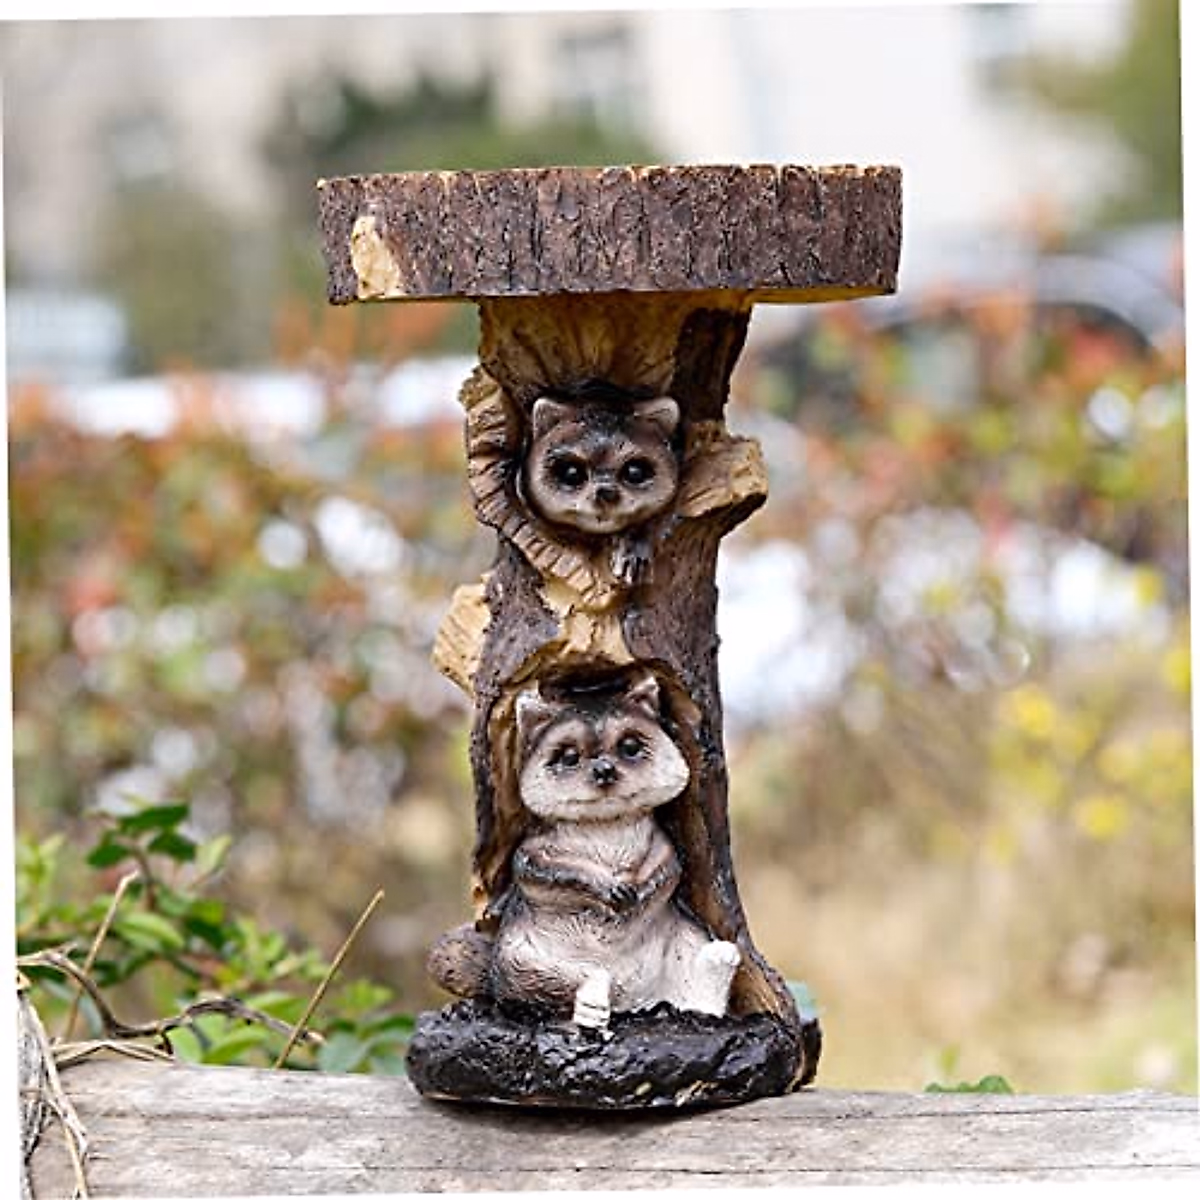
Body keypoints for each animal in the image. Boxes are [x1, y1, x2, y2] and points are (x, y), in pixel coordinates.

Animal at [490, 673, 741, 1027]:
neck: (607, 824)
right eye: (569, 757)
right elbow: (539, 871)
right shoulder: (535, 849)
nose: (604, 770)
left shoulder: (663, 842)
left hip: (684, 941)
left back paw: (714, 971)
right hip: (518, 958)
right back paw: (591, 1003)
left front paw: (643, 887)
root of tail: (631, 998)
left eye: (630, 747)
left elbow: (669, 867)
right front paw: (605, 888)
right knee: (551, 982)